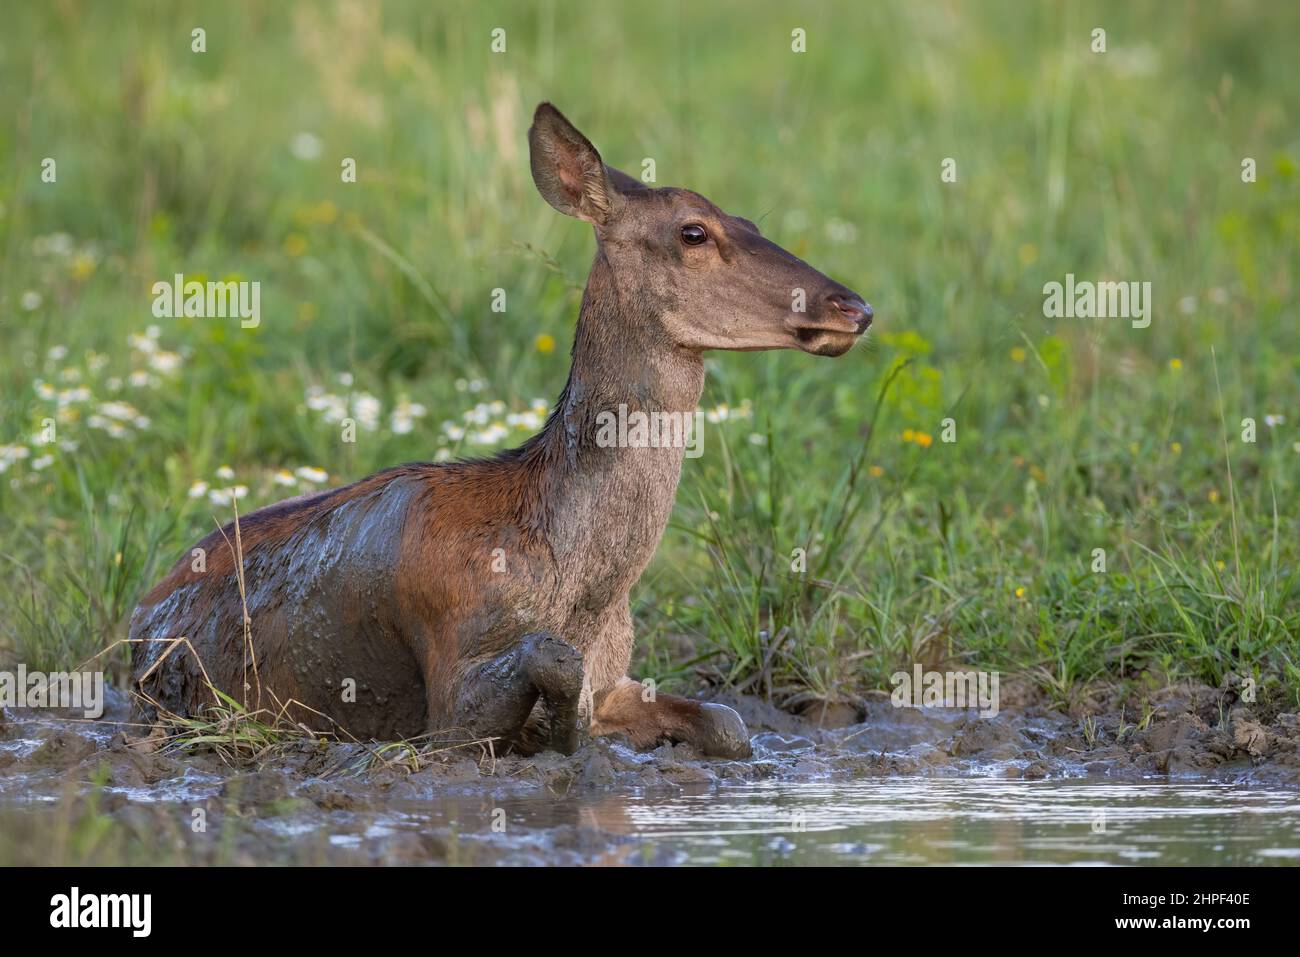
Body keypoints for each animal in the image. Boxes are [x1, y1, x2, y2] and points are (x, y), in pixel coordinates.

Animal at [127, 104, 873, 759]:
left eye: (746, 218)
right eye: (694, 231)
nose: (853, 306)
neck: (584, 584)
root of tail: (135, 618)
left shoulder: (618, 672)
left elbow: (728, 722)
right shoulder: (449, 677)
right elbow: (550, 665)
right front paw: (563, 738)